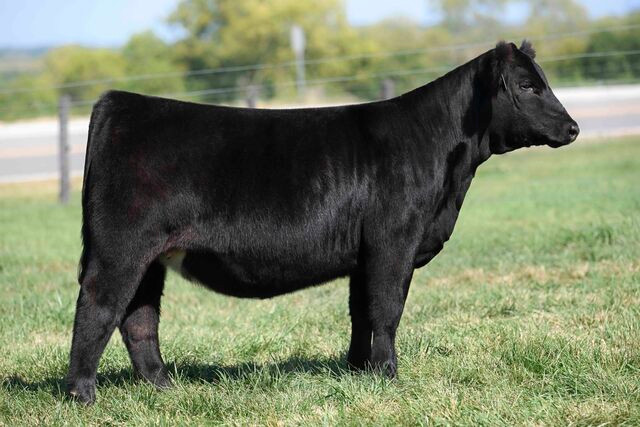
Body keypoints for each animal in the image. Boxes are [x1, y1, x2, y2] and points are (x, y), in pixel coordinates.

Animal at [67, 40, 579, 403]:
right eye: (528, 86)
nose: (573, 127)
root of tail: (119, 102)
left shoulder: (365, 254)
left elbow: (361, 311)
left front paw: (359, 372)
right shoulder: (394, 241)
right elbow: (387, 309)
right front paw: (389, 377)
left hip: (150, 258)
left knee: (138, 318)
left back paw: (164, 389)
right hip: (121, 248)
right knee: (98, 307)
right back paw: (81, 395)